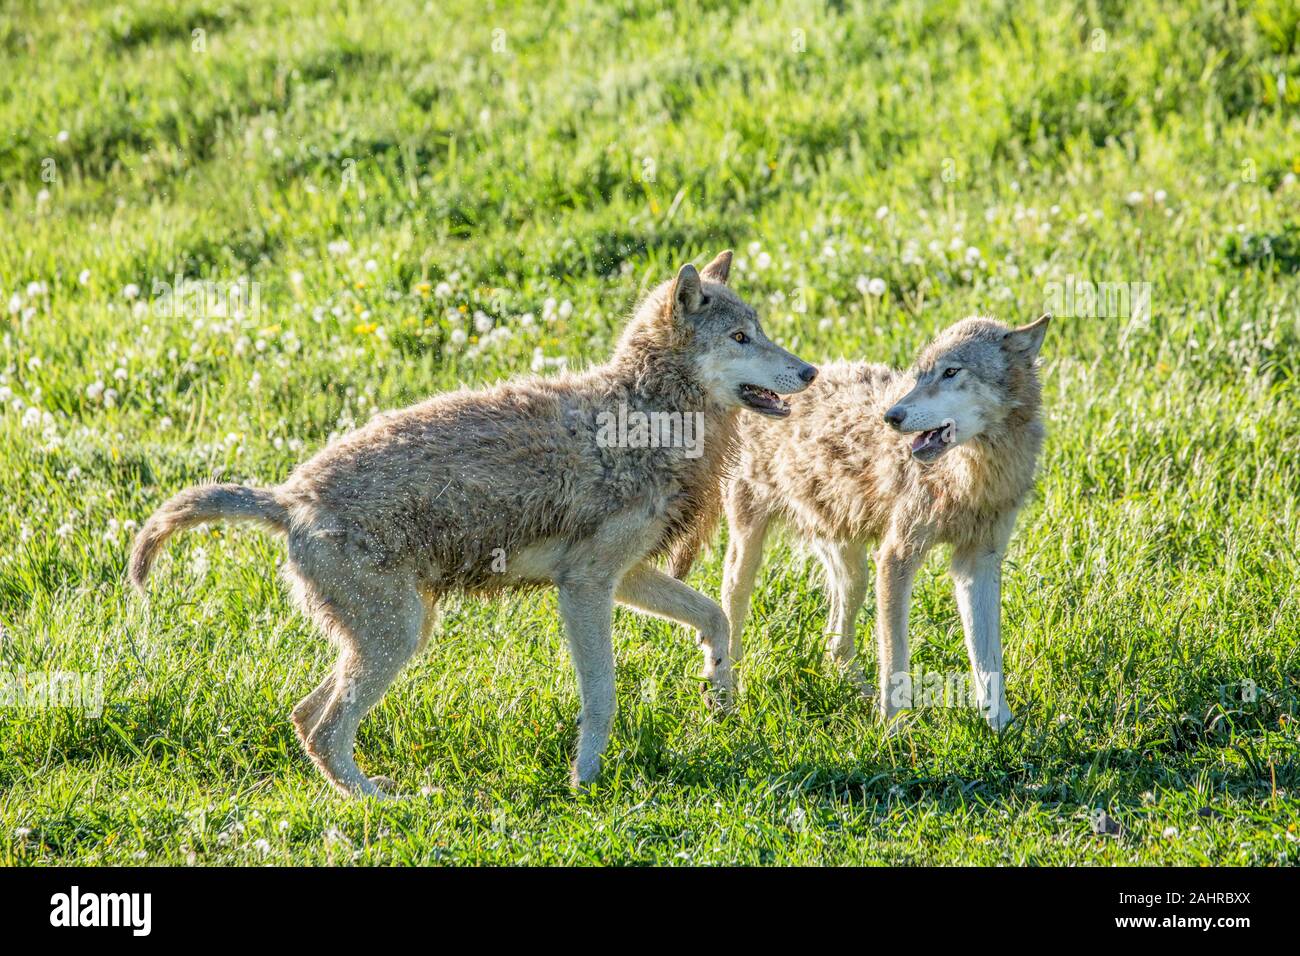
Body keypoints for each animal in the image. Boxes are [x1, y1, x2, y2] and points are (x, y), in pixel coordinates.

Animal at [129, 251, 818, 797]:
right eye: (740, 337)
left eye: (761, 332)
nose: (810, 372)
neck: (648, 416)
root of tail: (289, 498)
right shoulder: (585, 588)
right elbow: (601, 697)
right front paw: (585, 781)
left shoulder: (619, 577)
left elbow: (716, 616)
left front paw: (719, 691)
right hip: (396, 639)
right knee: (324, 729)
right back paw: (389, 803)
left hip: (400, 634)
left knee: (303, 716)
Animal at [697, 314, 1049, 731]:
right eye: (919, 375)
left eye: (951, 372)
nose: (892, 417)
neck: (969, 479)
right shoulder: (896, 557)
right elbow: (895, 657)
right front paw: (894, 728)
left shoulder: (977, 563)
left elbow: (988, 660)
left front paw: (1002, 728)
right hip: (749, 550)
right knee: (731, 617)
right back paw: (727, 696)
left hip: (854, 571)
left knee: (834, 644)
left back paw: (856, 692)